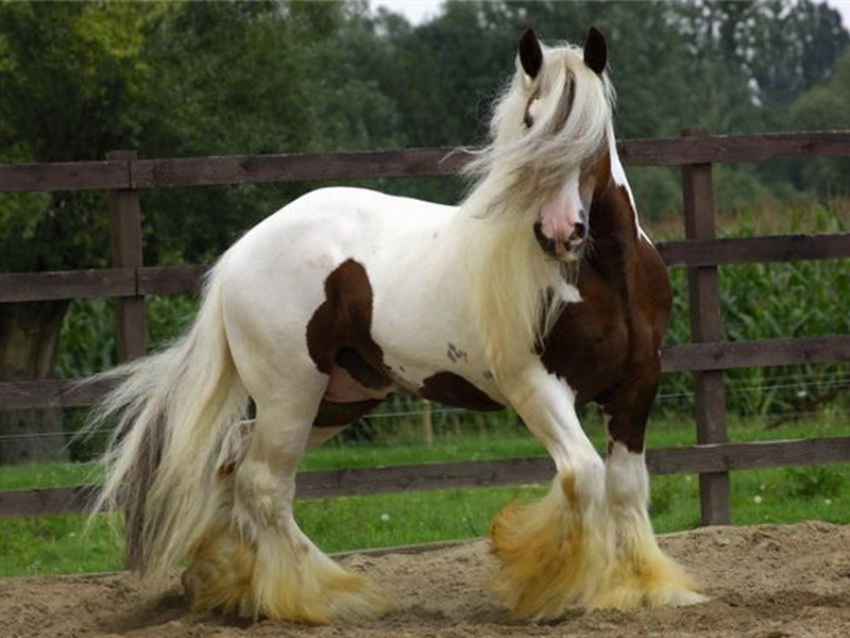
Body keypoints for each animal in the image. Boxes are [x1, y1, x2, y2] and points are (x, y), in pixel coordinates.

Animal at [88, 27, 706, 624]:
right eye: (531, 122)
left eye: (590, 131)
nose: (559, 233)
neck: (606, 280)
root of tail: (241, 252)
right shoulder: (535, 386)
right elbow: (584, 475)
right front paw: (547, 589)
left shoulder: (637, 387)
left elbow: (627, 485)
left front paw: (647, 588)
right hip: (293, 392)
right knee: (264, 485)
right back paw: (328, 599)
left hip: (341, 397)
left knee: (236, 459)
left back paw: (232, 589)